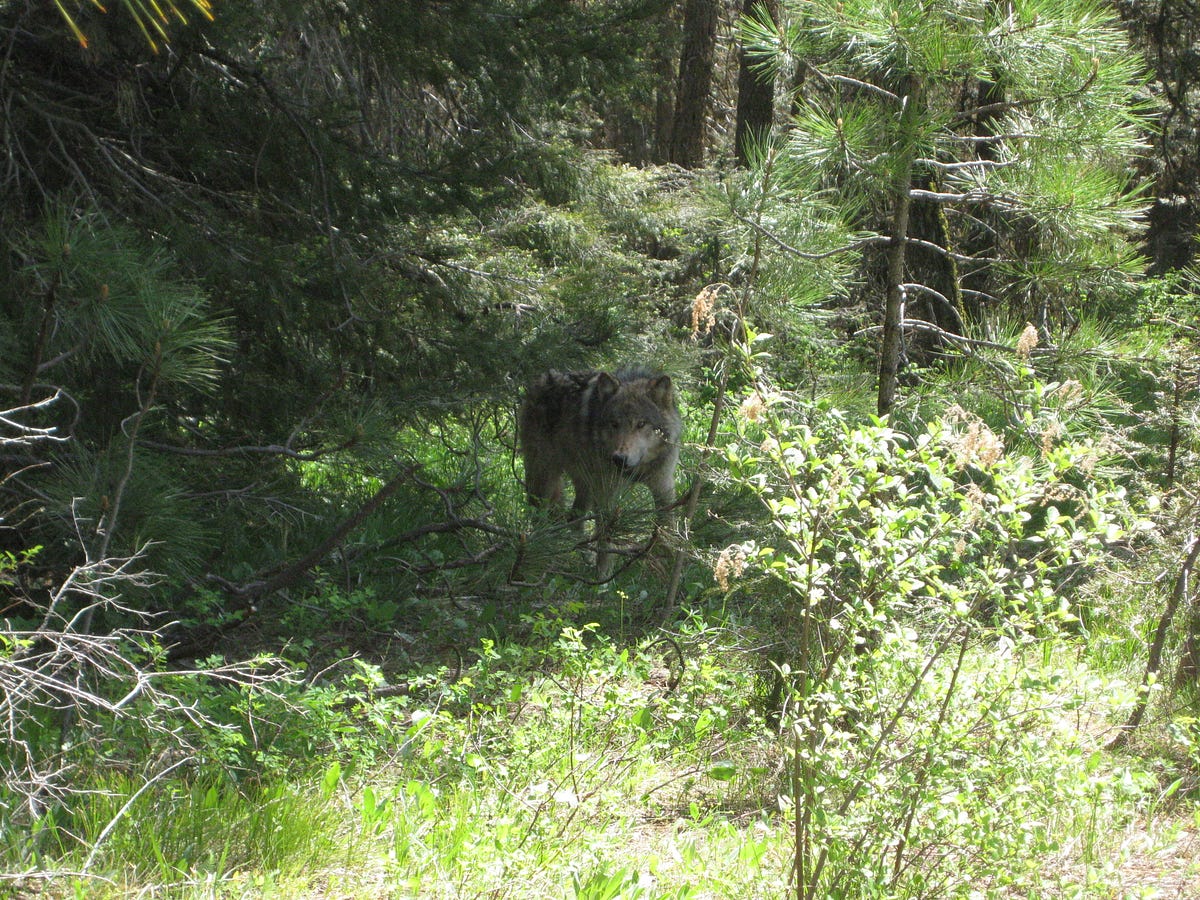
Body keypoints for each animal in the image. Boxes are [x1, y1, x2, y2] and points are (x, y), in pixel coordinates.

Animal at [519, 367, 681, 576]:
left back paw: (584, 559)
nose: (619, 458)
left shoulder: (664, 487)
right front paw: (602, 578)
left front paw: (670, 573)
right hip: (545, 481)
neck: (639, 469)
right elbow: (606, 542)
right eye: (614, 424)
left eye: (641, 424)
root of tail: (542, 379)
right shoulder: (607, 495)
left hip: (586, 485)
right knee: (540, 518)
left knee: (574, 519)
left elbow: (667, 531)